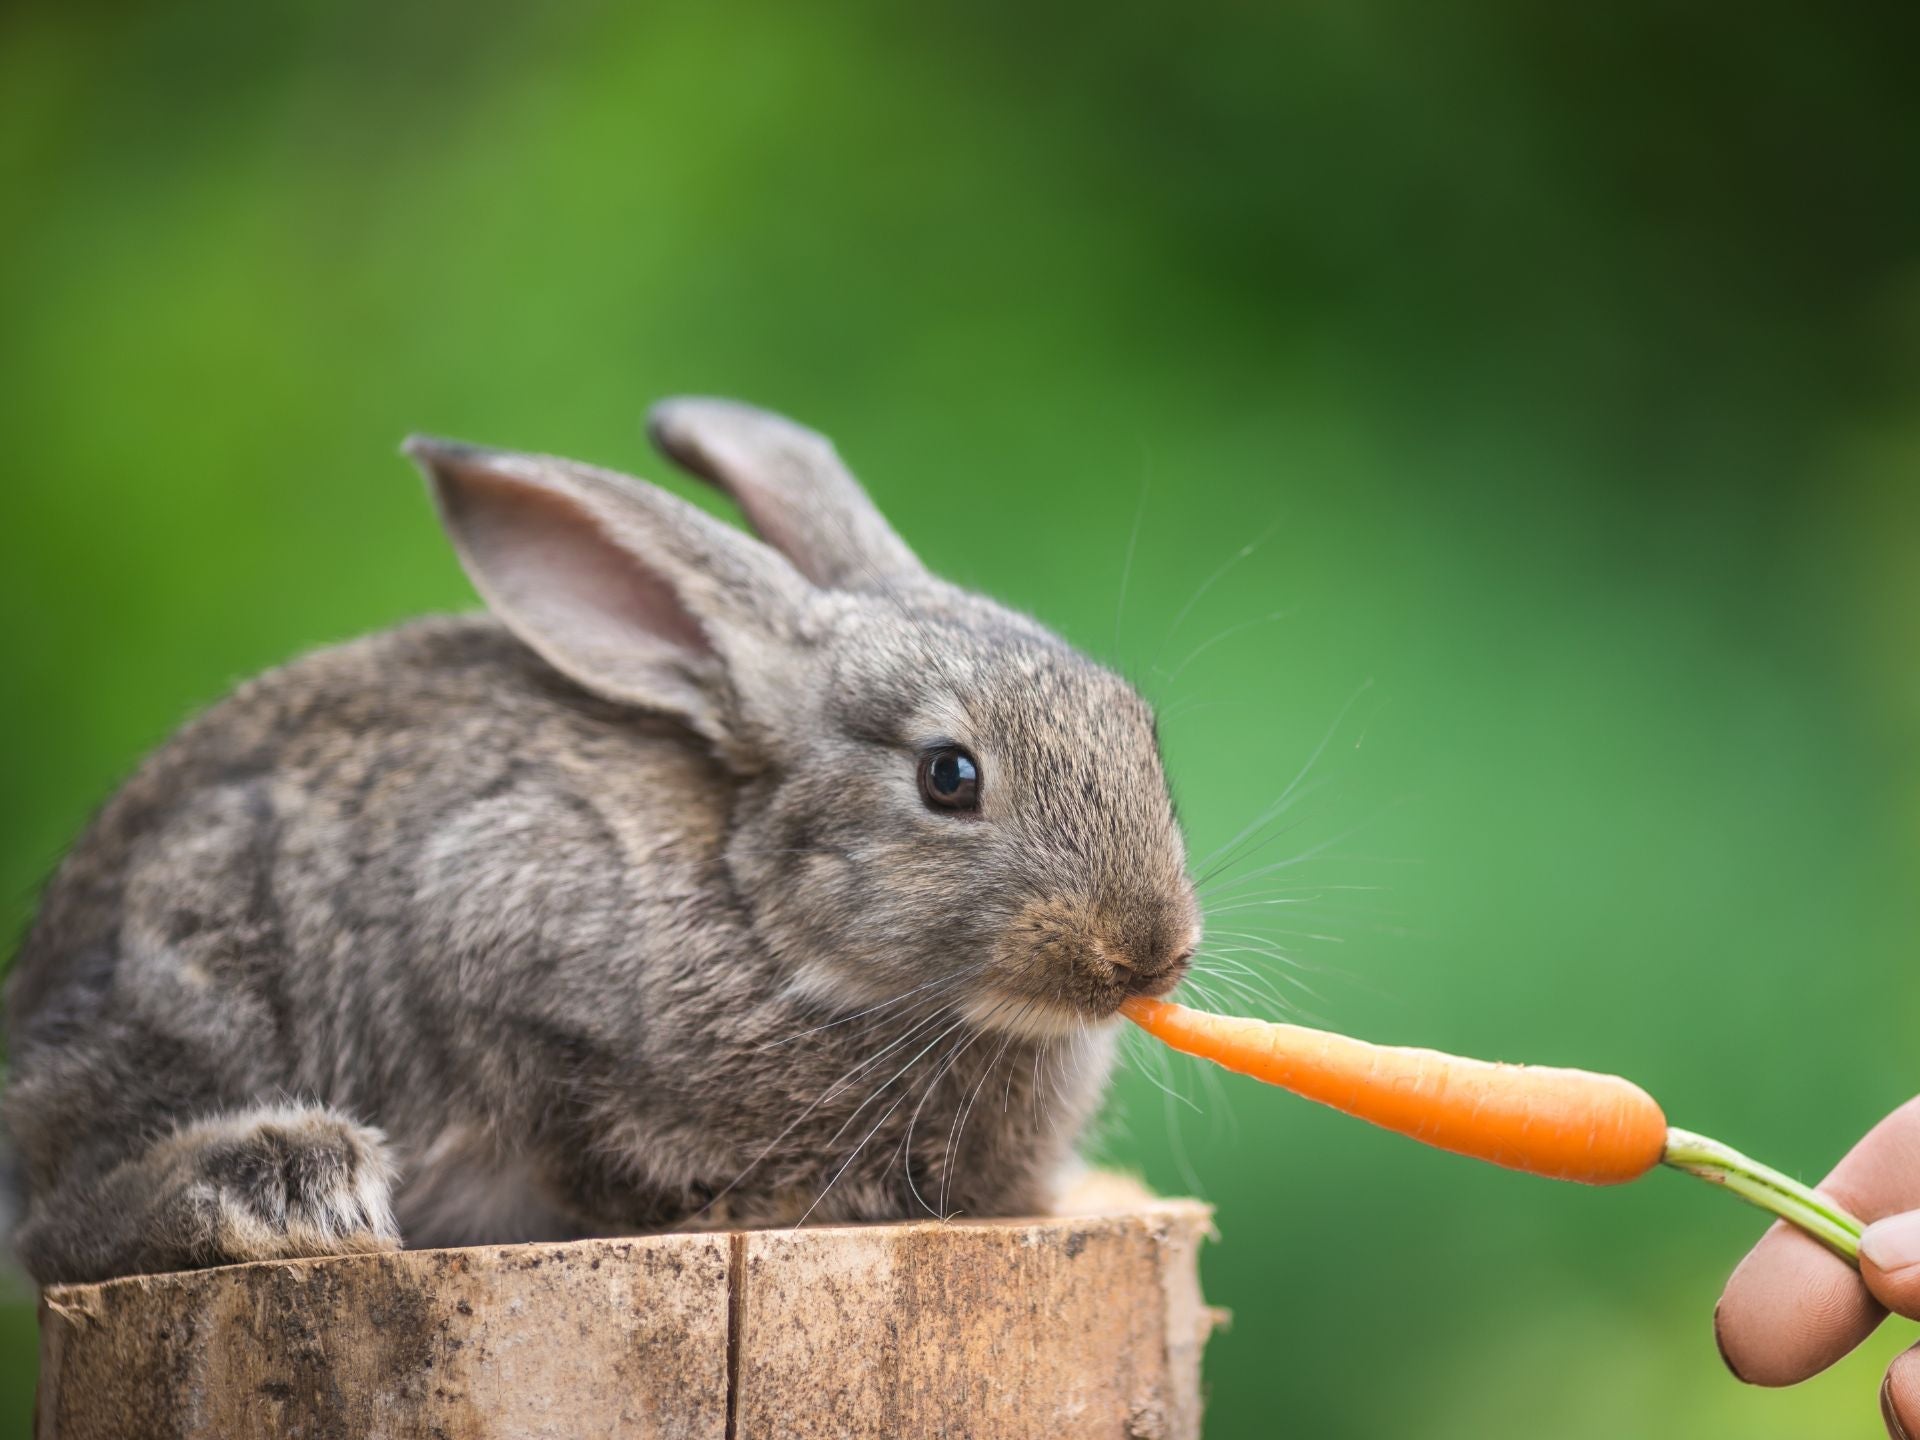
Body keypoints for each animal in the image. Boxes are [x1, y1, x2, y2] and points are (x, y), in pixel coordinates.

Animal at [2, 398, 1200, 1285]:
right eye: (949, 777)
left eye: (1142, 728)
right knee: (55, 1220)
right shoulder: (497, 932)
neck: (771, 923)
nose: (1148, 951)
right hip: (201, 958)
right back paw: (285, 1185)